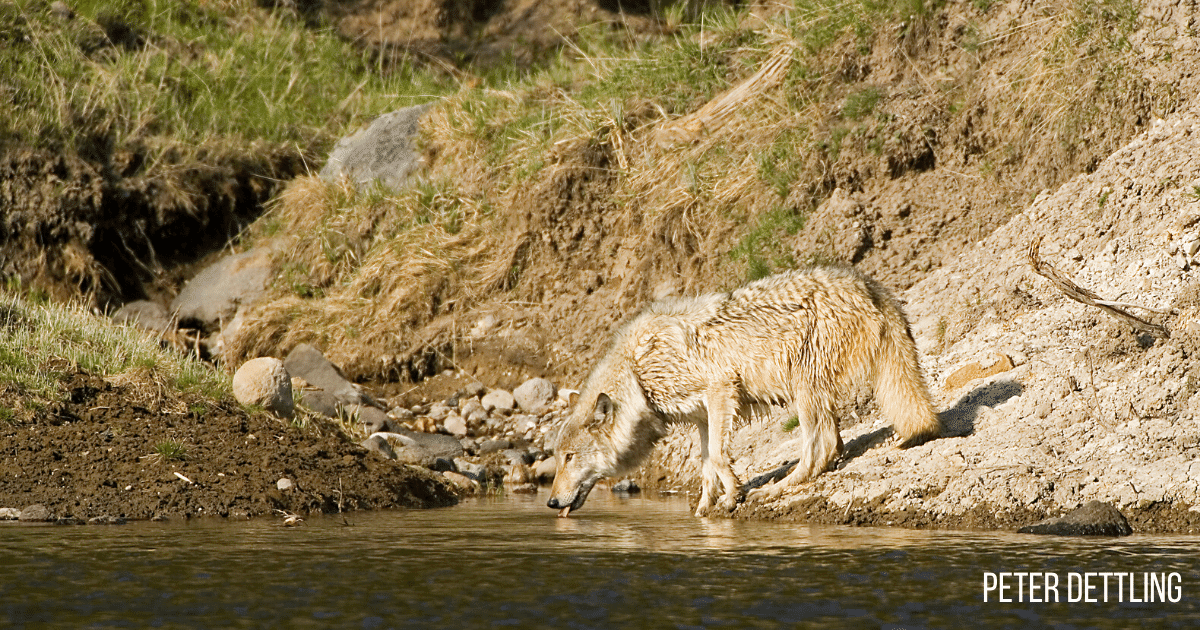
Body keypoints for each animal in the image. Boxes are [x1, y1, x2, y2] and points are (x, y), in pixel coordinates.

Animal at [547, 264, 940, 518]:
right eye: (558, 457)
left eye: (568, 458)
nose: (550, 503)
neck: (637, 373)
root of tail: (869, 284)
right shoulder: (702, 416)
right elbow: (707, 463)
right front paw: (705, 509)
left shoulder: (722, 392)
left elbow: (720, 458)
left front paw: (734, 494)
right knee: (833, 446)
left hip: (802, 391)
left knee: (821, 447)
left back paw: (777, 488)